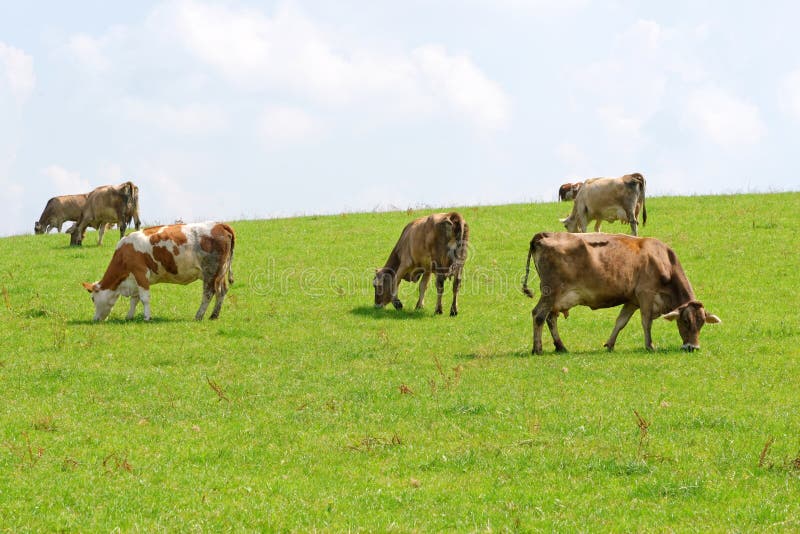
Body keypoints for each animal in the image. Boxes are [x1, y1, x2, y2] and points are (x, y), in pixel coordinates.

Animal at [82, 221, 235, 321]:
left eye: (93, 298)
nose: (95, 319)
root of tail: (220, 224)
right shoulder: (135, 279)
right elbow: (134, 299)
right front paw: (129, 316)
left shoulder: (140, 273)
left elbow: (144, 298)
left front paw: (147, 317)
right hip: (220, 272)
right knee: (222, 291)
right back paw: (214, 316)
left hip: (210, 272)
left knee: (209, 293)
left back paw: (199, 315)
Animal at [521, 232, 720, 354]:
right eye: (685, 321)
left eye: (702, 323)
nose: (693, 347)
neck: (663, 260)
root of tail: (544, 234)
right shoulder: (646, 294)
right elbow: (646, 322)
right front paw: (650, 345)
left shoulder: (632, 300)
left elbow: (621, 322)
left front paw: (610, 344)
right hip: (551, 291)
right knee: (539, 315)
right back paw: (537, 349)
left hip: (557, 297)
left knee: (550, 318)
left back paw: (561, 346)